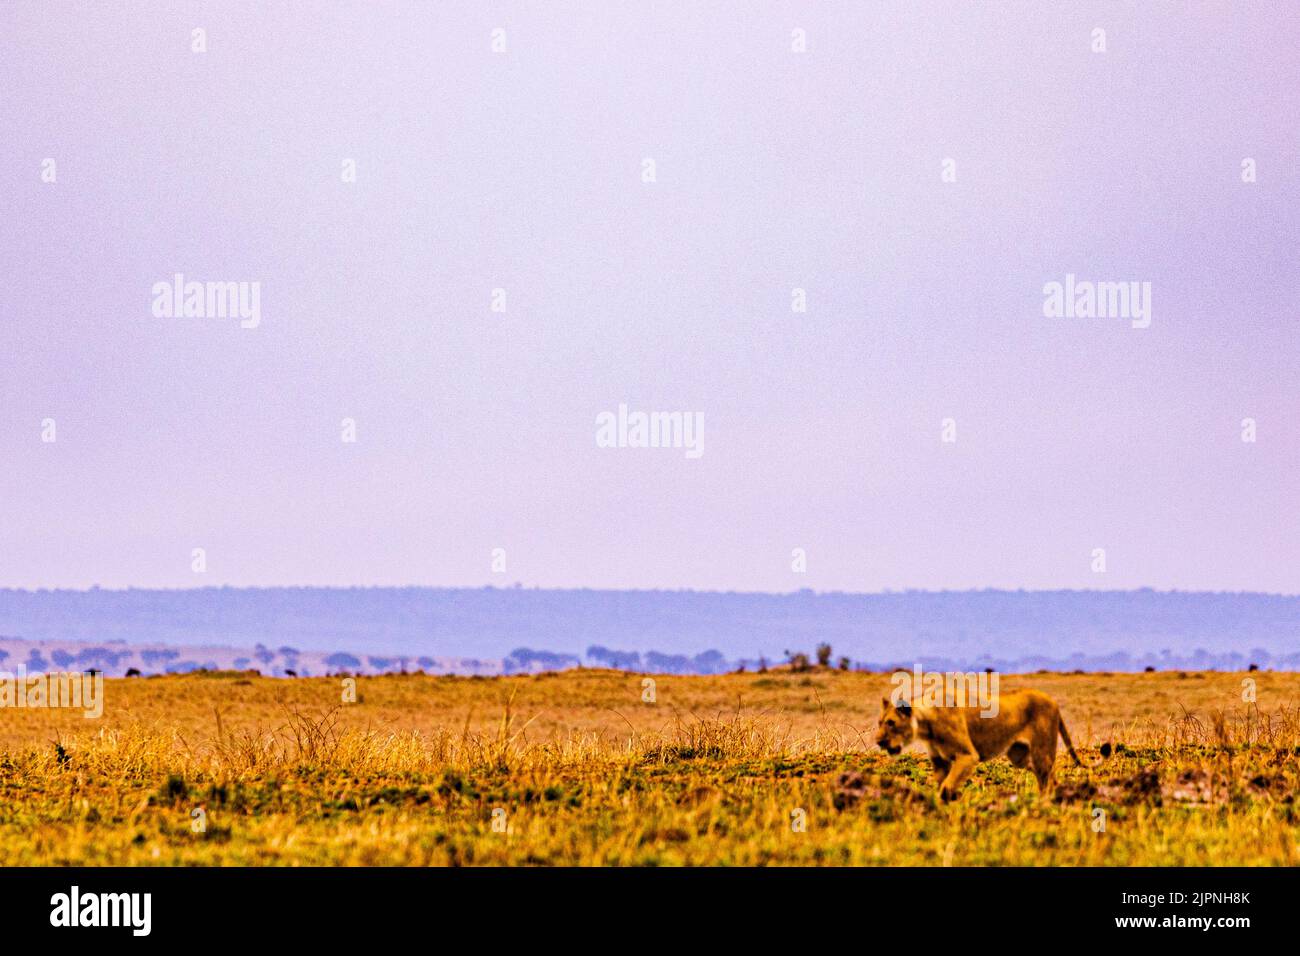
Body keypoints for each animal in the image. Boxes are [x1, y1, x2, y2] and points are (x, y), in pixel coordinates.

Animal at [876, 689, 1086, 800]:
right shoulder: (940, 762)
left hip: (1042, 753)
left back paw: (1047, 802)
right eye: (879, 722)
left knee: (1047, 779)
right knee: (1049, 778)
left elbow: (947, 787)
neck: (925, 723)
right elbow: (943, 785)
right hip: (1019, 756)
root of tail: (1052, 700)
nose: (878, 741)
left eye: (891, 723)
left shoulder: (968, 756)